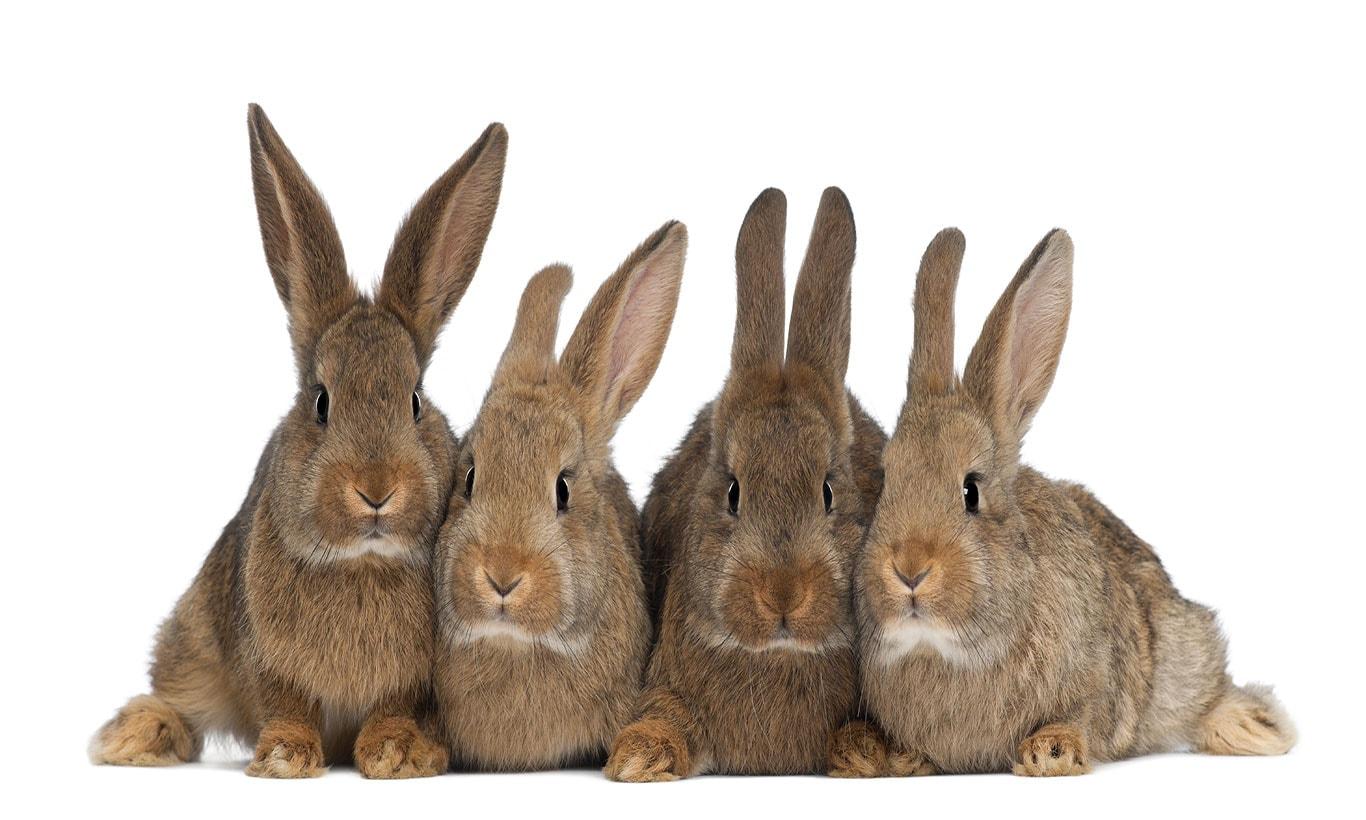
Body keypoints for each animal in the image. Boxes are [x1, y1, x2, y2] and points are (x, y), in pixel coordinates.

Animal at [89, 105, 507, 778]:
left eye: (416, 400)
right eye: (321, 402)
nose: (376, 490)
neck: (361, 562)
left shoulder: (412, 680)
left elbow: (392, 707)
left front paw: (399, 752)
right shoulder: (266, 658)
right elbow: (287, 704)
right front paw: (286, 756)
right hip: (194, 636)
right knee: (181, 693)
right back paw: (137, 734)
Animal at [829, 228, 1297, 778]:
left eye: (971, 491)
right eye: (885, 483)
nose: (909, 569)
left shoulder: (1100, 677)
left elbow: (1085, 715)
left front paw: (1050, 752)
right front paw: (888, 755)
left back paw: (1254, 728)